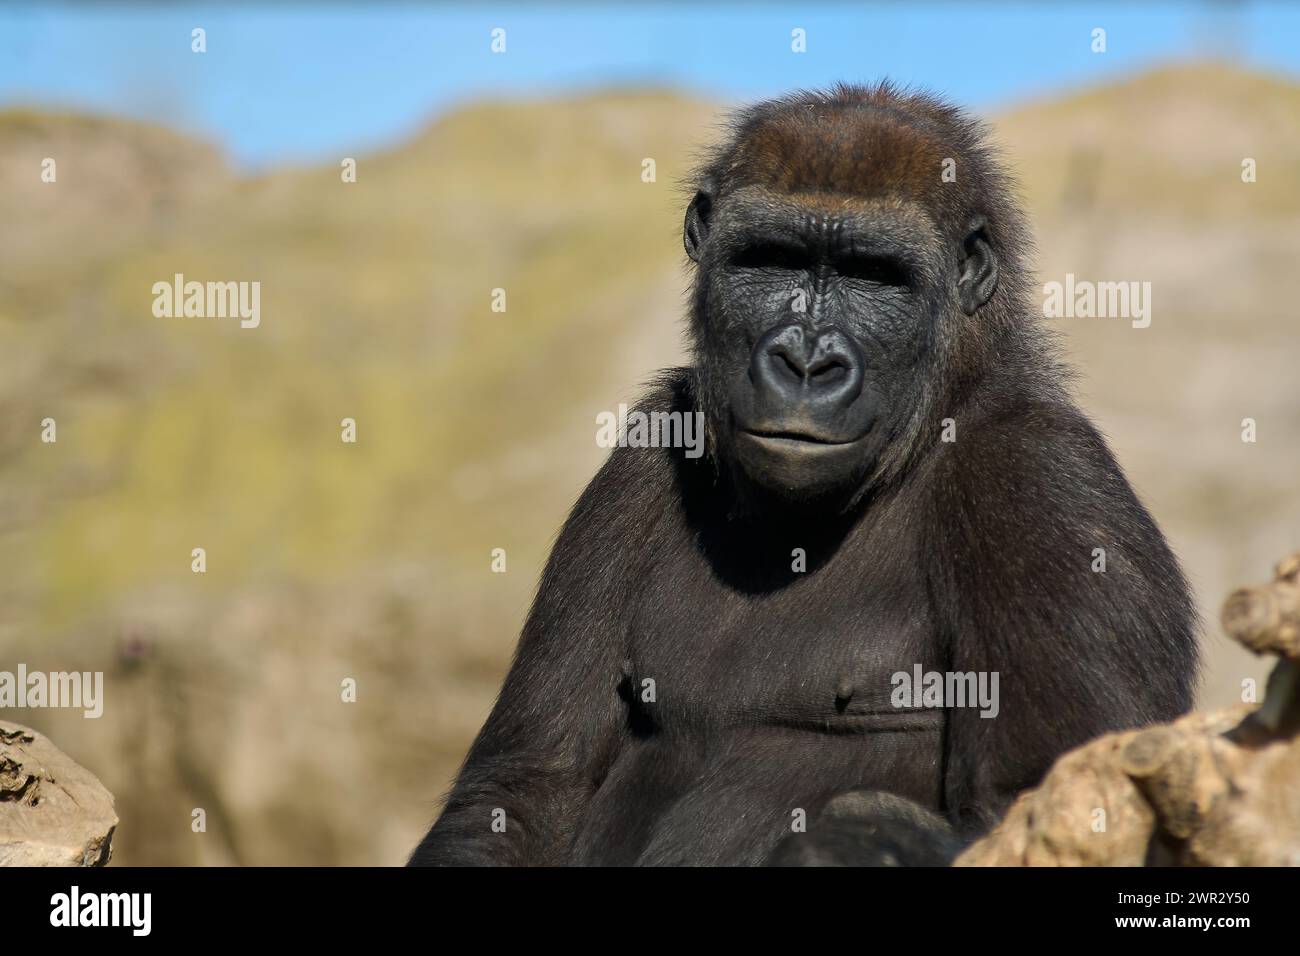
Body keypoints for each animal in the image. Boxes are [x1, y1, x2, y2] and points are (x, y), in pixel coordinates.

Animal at [410, 82, 1198, 866]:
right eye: (771, 260)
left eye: (872, 275)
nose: (807, 363)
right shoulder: (644, 451)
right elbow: (522, 793)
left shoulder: (1044, 475)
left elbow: (1060, 805)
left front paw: (849, 842)